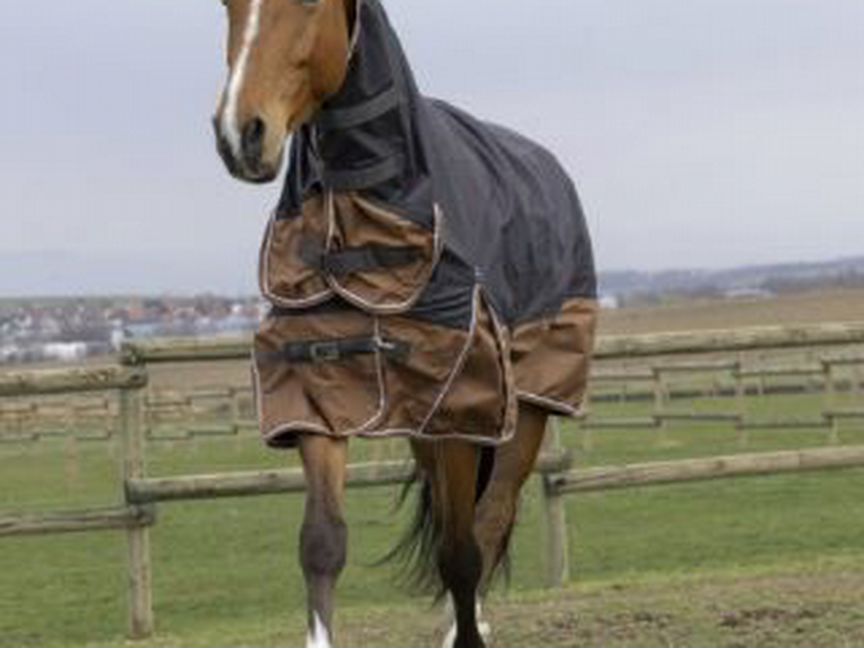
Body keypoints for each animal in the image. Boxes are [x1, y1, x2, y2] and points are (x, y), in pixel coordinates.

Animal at [211, 1, 597, 647]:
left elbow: (462, 554)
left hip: (530, 407)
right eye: (227, 8)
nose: (241, 136)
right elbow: (322, 544)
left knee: (489, 519)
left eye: (311, 5)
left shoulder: (461, 409)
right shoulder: (319, 395)